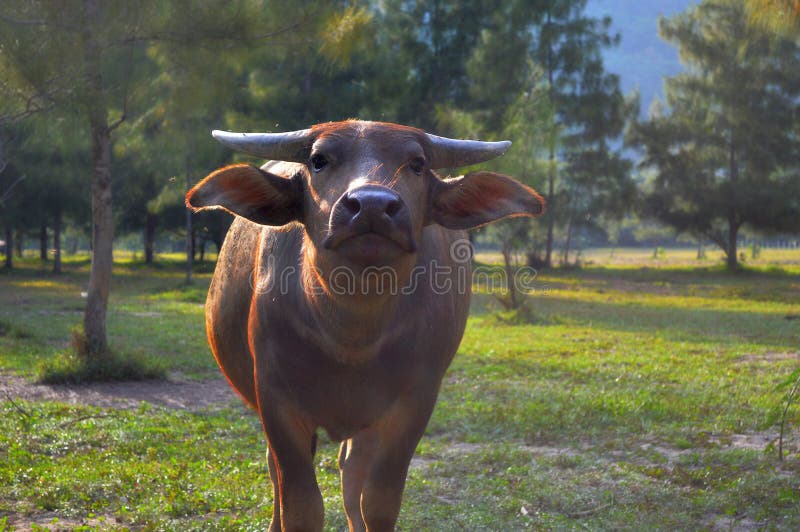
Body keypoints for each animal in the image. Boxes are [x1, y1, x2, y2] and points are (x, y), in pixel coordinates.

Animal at [188, 120, 544, 532]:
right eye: (319, 160)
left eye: (418, 163)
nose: (372, 205)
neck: (352, 335)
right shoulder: (275, 399)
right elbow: (301, 505)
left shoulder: (414, 403)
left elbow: (378, 501)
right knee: (276, 471)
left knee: (351, 473)